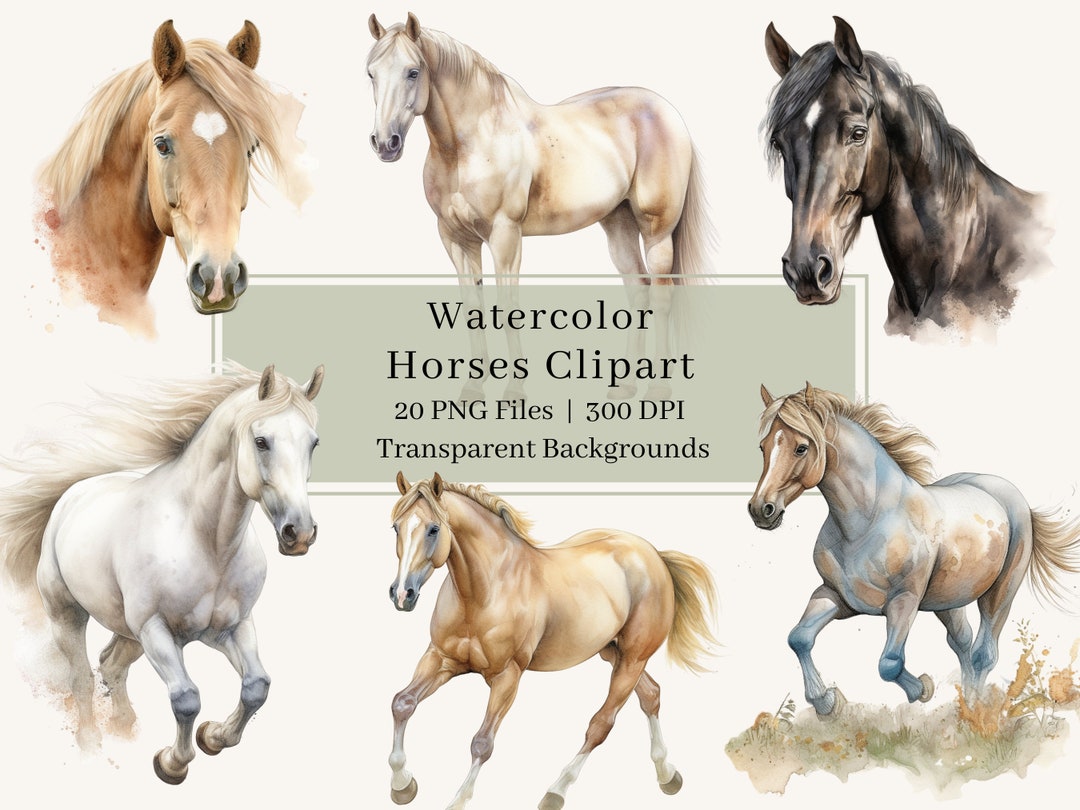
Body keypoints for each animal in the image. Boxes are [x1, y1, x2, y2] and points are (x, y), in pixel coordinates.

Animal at [0, 363, 324, 783]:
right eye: (261, 441)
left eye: (313, 443)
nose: (298, 533)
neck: (207, 544)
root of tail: (73, 493)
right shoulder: (157, 628)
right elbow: (186, 698)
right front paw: (172, 763)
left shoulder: (230, 628)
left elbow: (257, 686)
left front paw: (214, 737)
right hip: (69, 616)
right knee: (83, 678)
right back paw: (90, 743)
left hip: (128, 631)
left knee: (111, 664)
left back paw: (124, 726)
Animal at [366, 13, 714, 400]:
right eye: (371, 73)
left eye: (413, 72)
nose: (385, 143)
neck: (470, 144)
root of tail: (667, 112)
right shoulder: (456, 238)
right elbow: (472, 306)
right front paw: (473, 389)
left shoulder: (505, 235)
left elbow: (507, 306)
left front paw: (514, 392)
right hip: (618, 223)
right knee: (639, 289)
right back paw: (625, 387)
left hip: (657, 230)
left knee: (662, 295)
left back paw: (658, 391)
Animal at [387, 472, 719, 809]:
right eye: (396, 527)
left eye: (434, 528)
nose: (402, 594)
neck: (485, 591)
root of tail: (654, 555)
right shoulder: (441, 659)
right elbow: (402, 703)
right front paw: (403, 785)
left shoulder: (507, 676)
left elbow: (482, 743)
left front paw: (457, 800)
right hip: (611, 652)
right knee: (651, 695)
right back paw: (667, 775)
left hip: (633, 658)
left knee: (601, 724)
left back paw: (556, 791)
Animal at [747, 383, 1080, 716]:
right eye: (763, 446)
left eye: (801, 447)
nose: (761, 510)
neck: (868, 521)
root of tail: (1005, 491)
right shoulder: (837, 596)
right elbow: (799, 638)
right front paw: (827, 702)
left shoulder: (903, 600)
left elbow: (889, 664)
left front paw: (922, 688)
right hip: (948, 601)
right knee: (962, 644)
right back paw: (965, 709)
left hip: (1001, 592)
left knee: (983, 653)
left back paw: (974, 714)